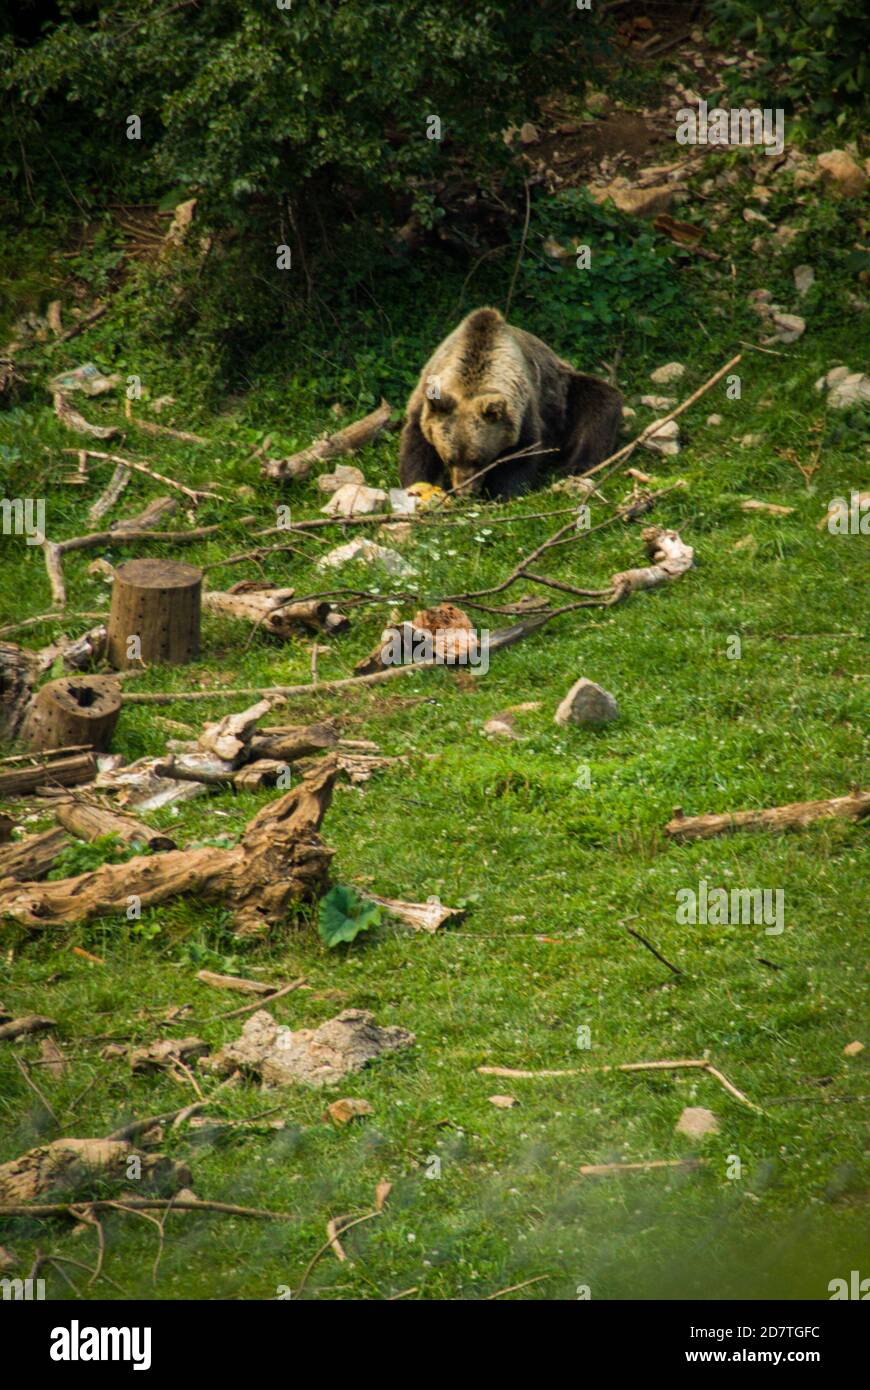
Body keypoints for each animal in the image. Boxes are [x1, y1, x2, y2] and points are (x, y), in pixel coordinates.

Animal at [398, 306, 622, 499]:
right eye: (449, 459)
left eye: (479, 459)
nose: (465, 492)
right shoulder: (426, 406)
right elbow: (417, 447)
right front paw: (419, 486)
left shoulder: (525, 413)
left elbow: (520, 455)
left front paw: (502, 494)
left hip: (566, 395)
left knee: (600, 404)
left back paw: (574, 466)